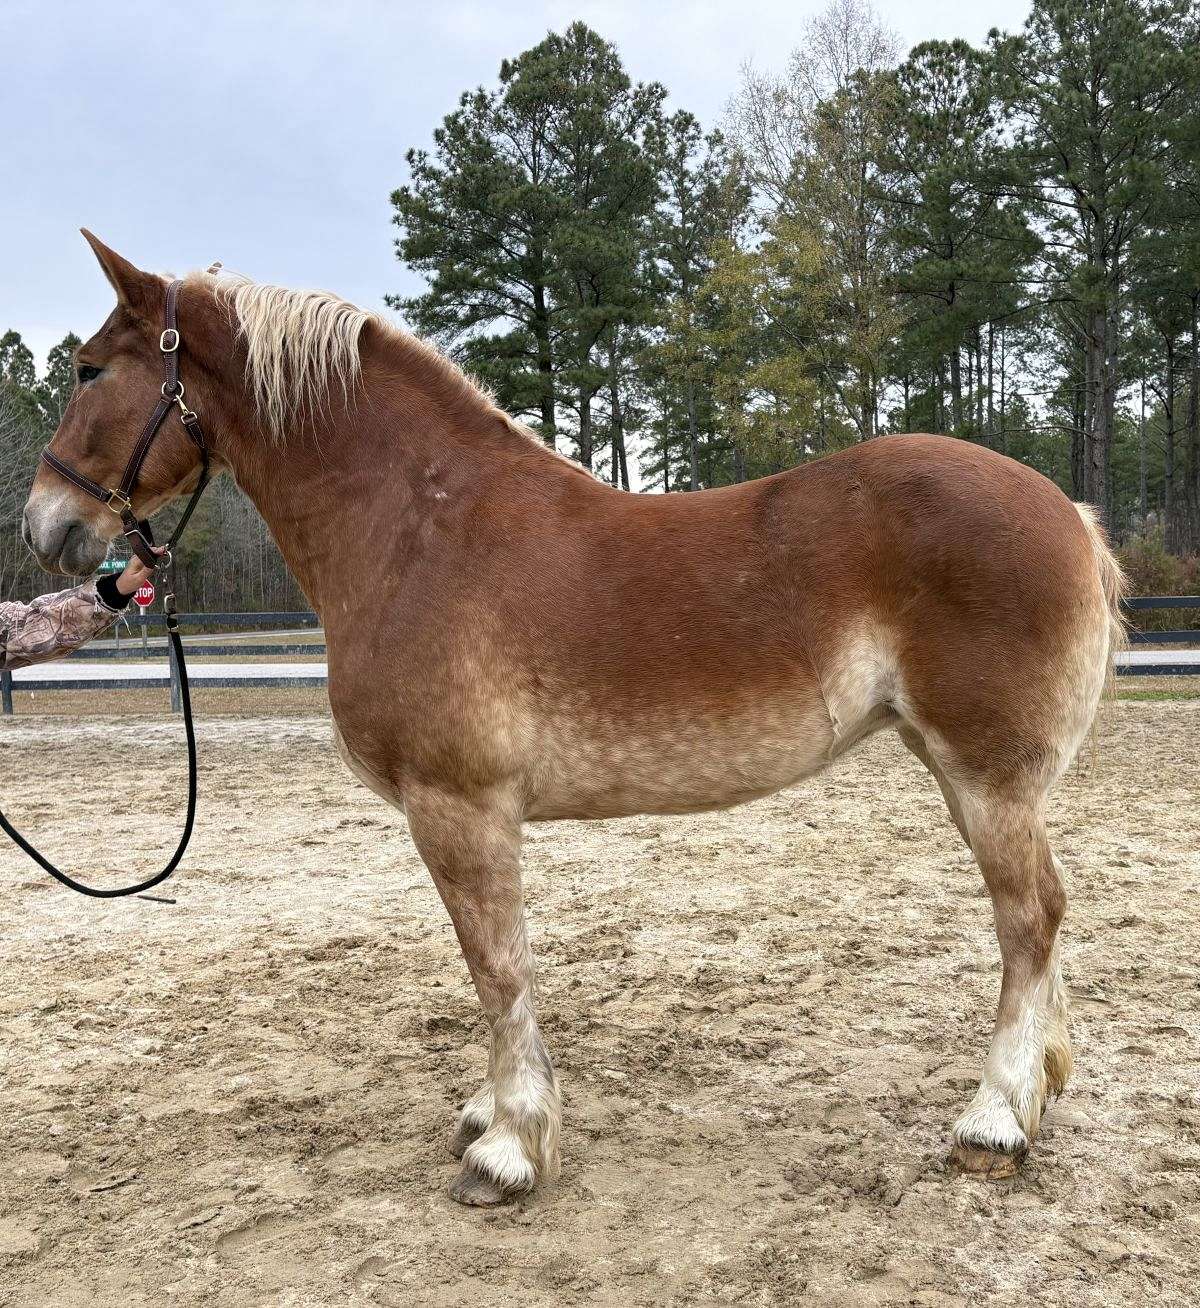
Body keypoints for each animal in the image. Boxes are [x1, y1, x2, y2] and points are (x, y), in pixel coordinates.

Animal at [21, 232, 1126, 1206]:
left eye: (88, 369)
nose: (46, 527)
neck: (420, 528)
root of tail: (1070, 514)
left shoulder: (459, 809)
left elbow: (497, 968)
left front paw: (509, 1149)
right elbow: (495, 973)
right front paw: (490, 1115)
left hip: (985, 776)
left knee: (1030, 919)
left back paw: (993, 1123)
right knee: (1041, 922)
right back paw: (1038, 1089)